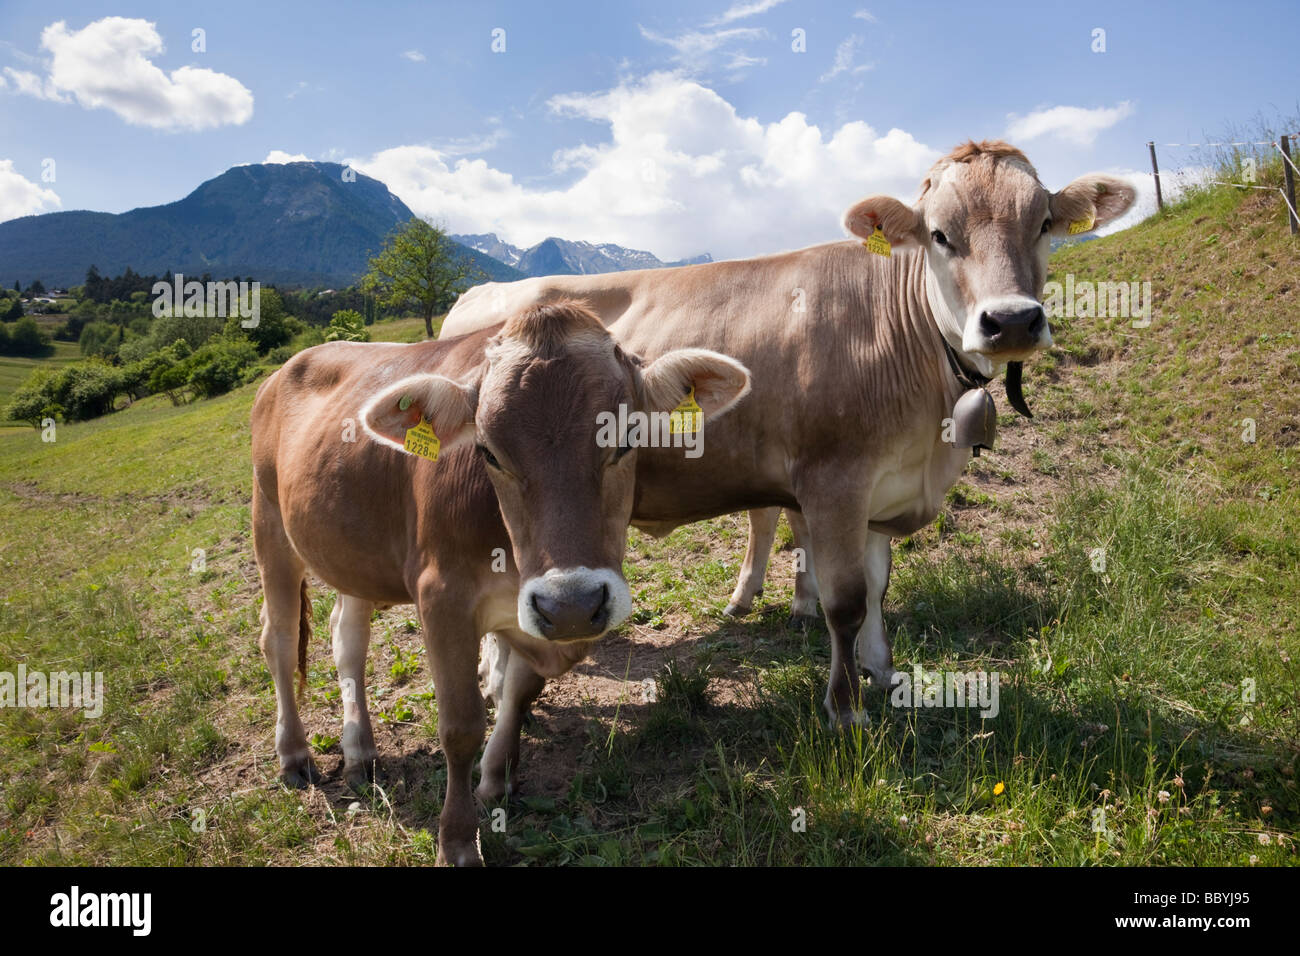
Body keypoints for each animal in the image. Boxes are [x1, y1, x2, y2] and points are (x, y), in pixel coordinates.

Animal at [250, 301, 750, 866]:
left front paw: (494, 776)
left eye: (626, 439)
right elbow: (460, 725)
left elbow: (519, 690)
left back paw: (359, 750)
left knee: (347, 639)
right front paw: (456, 840)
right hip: (270, 526)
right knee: (279, 640)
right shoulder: (441, 596)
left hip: (351, 555)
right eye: (488, 453)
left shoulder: (533, 610)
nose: (575, 604)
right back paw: (294, 754)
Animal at [440, 140, 1136, 731]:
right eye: (941, 235)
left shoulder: (881, 489)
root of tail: (480, 294)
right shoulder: (834, 483)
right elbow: (845, 601)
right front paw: (845, 708)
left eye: (1043, 224)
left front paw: (883, 672)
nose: (1011, 320)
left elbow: (878, 587)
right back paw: (497, 680)